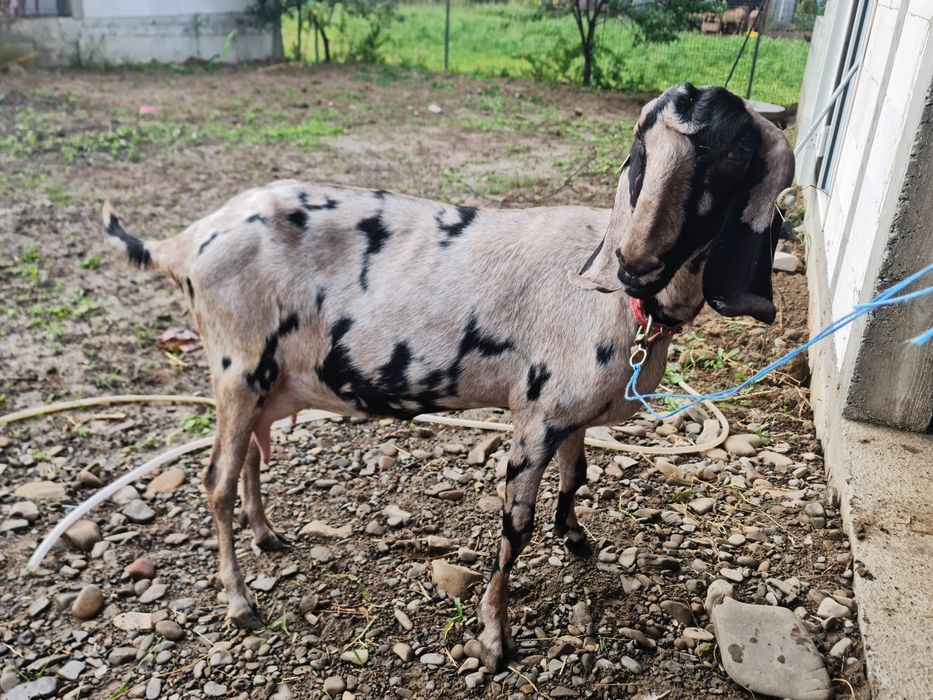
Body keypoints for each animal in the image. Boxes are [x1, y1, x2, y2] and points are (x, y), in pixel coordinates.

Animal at [100, 83, 793, 671]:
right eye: (642, 149)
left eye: (735, 155)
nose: (635, 262)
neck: (619, 303)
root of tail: (186, 242)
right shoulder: (536, 415)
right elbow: (516, 527)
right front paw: (495, 638)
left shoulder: (573, 412)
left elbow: (577, 476)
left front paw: (577, 539)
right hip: (237, 367)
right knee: (215, 481)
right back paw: (240, 601)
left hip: (263, 380)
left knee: (247, 456)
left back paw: (268, 537)